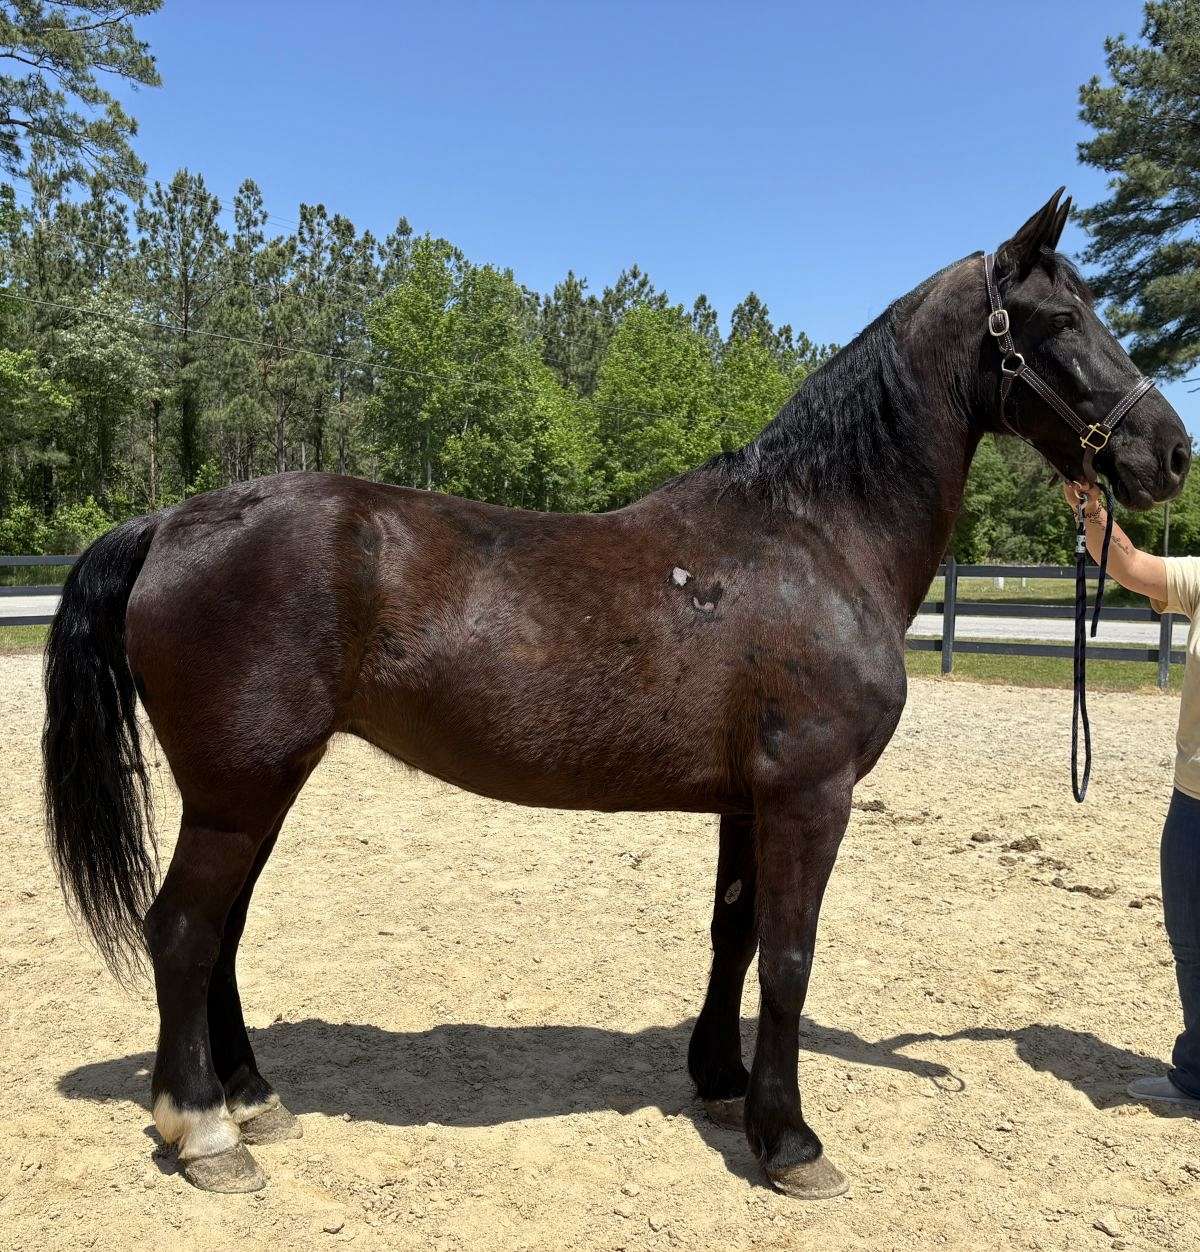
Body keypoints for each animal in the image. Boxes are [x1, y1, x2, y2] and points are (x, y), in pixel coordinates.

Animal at [42, 189, 1189, 1197]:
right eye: (1058, 321)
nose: (1170, 452)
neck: (816, 538)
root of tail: (171, 522)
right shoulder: (810, 795)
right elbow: (791, 957)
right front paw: (793, 1142)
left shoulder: (748, 801)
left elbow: (736, 938)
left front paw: (723, 1086)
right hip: (240, 789)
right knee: (182, 930)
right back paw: (204, 1133)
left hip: (256, 788)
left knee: (221, 933)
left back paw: (252, 1096)